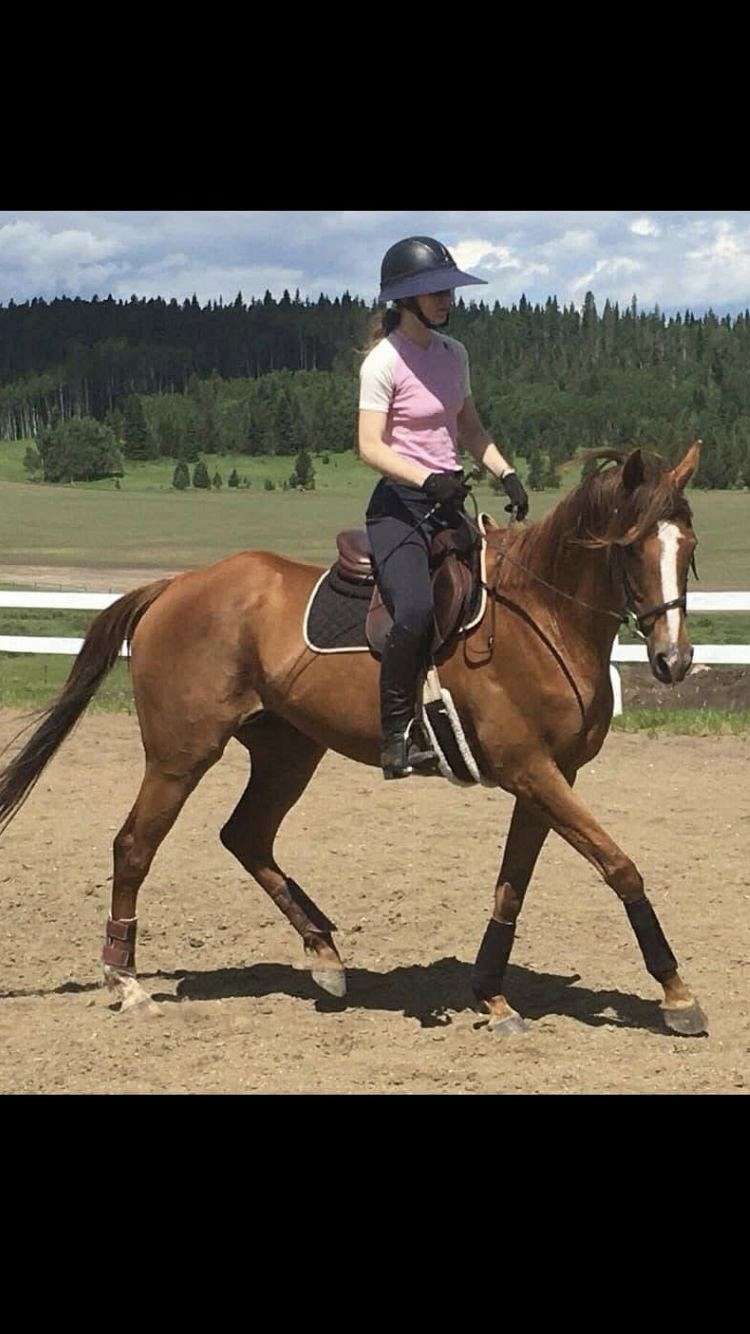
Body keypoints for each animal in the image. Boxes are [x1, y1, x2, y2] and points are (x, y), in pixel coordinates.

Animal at [0, 440, 708, 1035]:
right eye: (632, 546)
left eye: (689, 546)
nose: (673, 661)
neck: (542, 618)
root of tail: (175, 586)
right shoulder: (530, 769)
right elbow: (620, 866)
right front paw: (677, 993)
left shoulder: (547, 775)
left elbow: (513, 885)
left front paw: (492, 995)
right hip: (181, 756)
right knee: (133, 847)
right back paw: (126, 981)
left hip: (288, 752)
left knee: (245, 836)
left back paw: (324, 954)